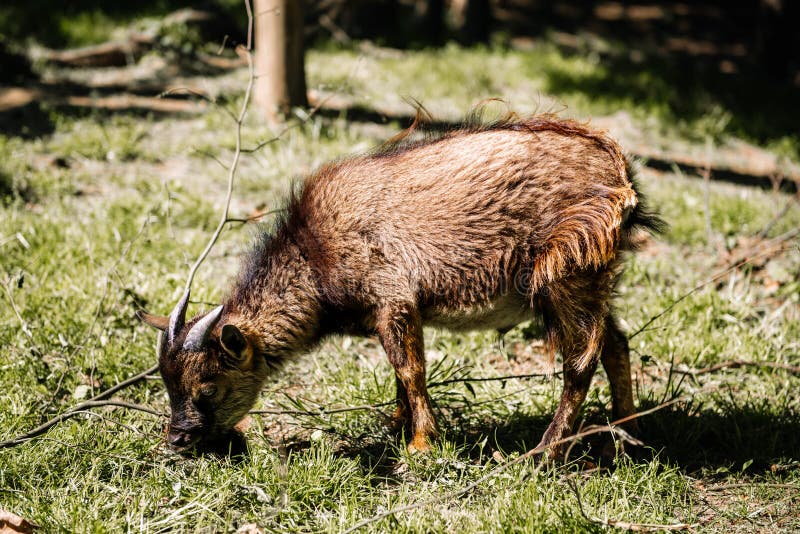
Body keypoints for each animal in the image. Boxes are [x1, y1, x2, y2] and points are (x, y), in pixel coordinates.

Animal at [138, 114, 662, 457]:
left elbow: (411, 371)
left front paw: (420, 445)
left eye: (208, 387)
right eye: (167, 384)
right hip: (592, 277)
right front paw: (396, 427)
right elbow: (398, 373)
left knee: (581, 361)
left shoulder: (393, 298)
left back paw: (544, 454)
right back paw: (628, 435)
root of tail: (619, 172)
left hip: (564, 269)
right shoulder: (389, 313)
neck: (316, 254)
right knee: (616, 343)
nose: (177, 441)